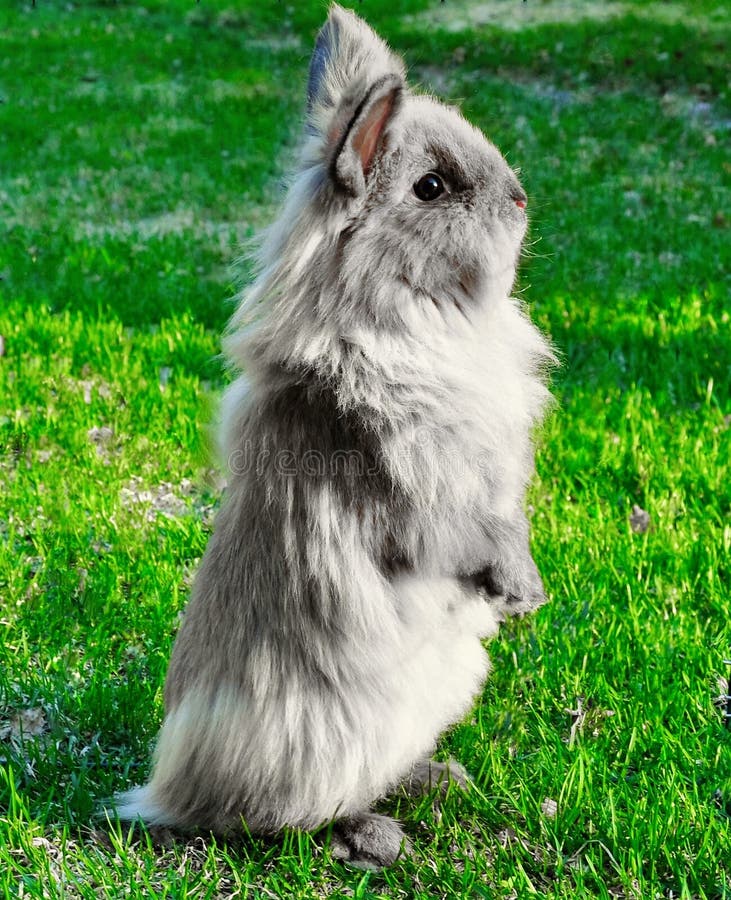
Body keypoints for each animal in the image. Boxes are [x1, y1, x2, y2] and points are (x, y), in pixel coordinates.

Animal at [113, 4, 556, 868]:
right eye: (431, 187)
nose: (523, 200)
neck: (408, 319)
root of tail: (166, 795)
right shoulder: (422, 493)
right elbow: (472, 537)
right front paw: (521, 592)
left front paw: (528, 593)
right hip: (328, 736)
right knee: (290, 818)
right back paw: (374, 836)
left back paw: (437, 779)